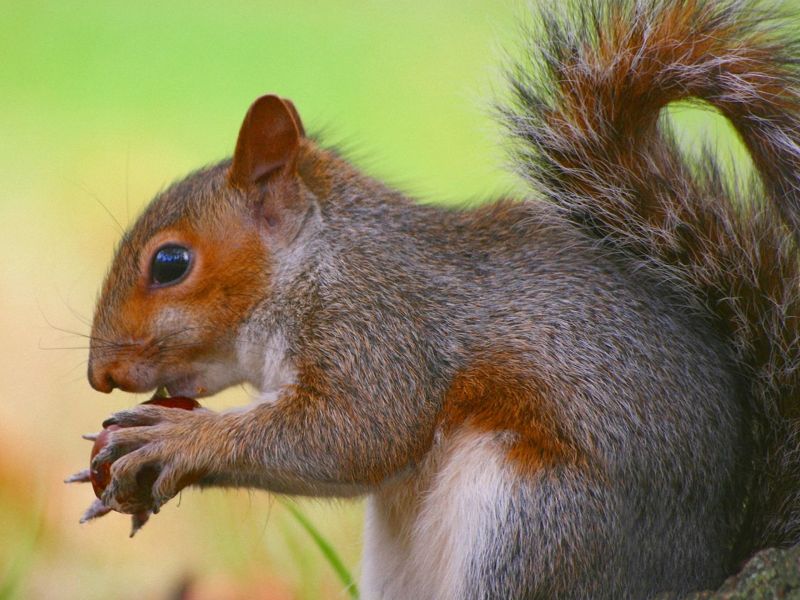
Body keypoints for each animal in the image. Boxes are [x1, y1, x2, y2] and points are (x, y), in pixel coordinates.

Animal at [78, 0, 800, 597]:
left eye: (170, 263)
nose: (99, 375)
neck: (315, 257)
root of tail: (707, 564)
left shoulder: (382, 323)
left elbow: (359, 433)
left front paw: (178, 438)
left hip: (535, 522)